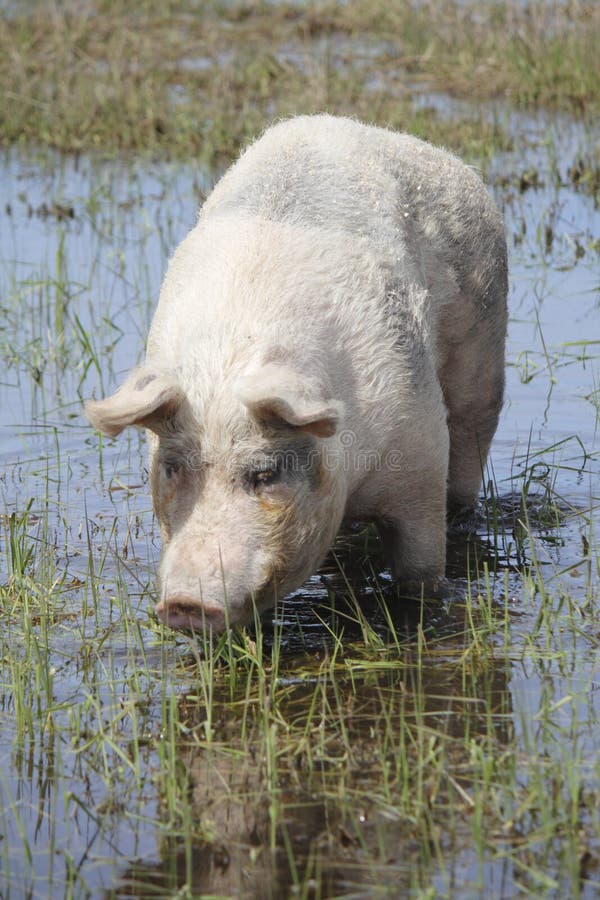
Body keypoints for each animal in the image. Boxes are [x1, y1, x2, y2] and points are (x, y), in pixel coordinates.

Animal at [85, 114, 507, 633]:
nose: (185, 604)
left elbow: (421, 563)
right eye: (172, 467)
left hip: (484, 342)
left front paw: (424, 605)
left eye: (265, 474)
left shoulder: (420, 451)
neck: (233, 359)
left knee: (472, 437)